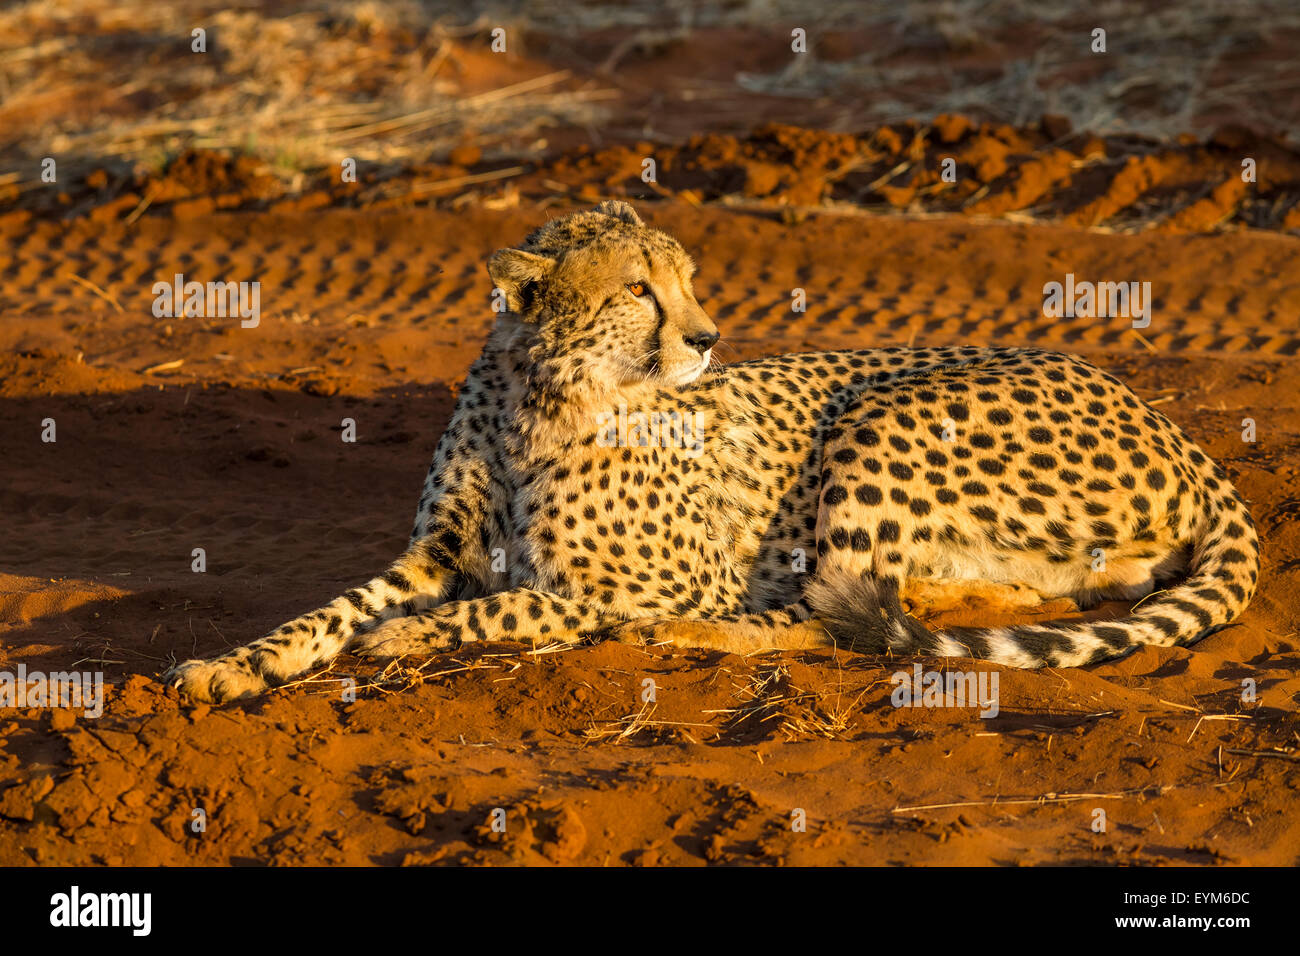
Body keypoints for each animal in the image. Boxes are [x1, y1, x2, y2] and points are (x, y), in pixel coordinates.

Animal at [166, 200, 1260, 703]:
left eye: (687, 280)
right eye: (635, 288)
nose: (706, 337)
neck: (542, 397)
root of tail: (1164, 419)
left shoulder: (668, 577)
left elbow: (531, 601)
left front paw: (407, 639)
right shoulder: (435, 552)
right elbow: (333, 607)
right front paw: (230, 665)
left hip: (881, 416)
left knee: (838, 618)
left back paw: (689, 639)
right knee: (978, 597)